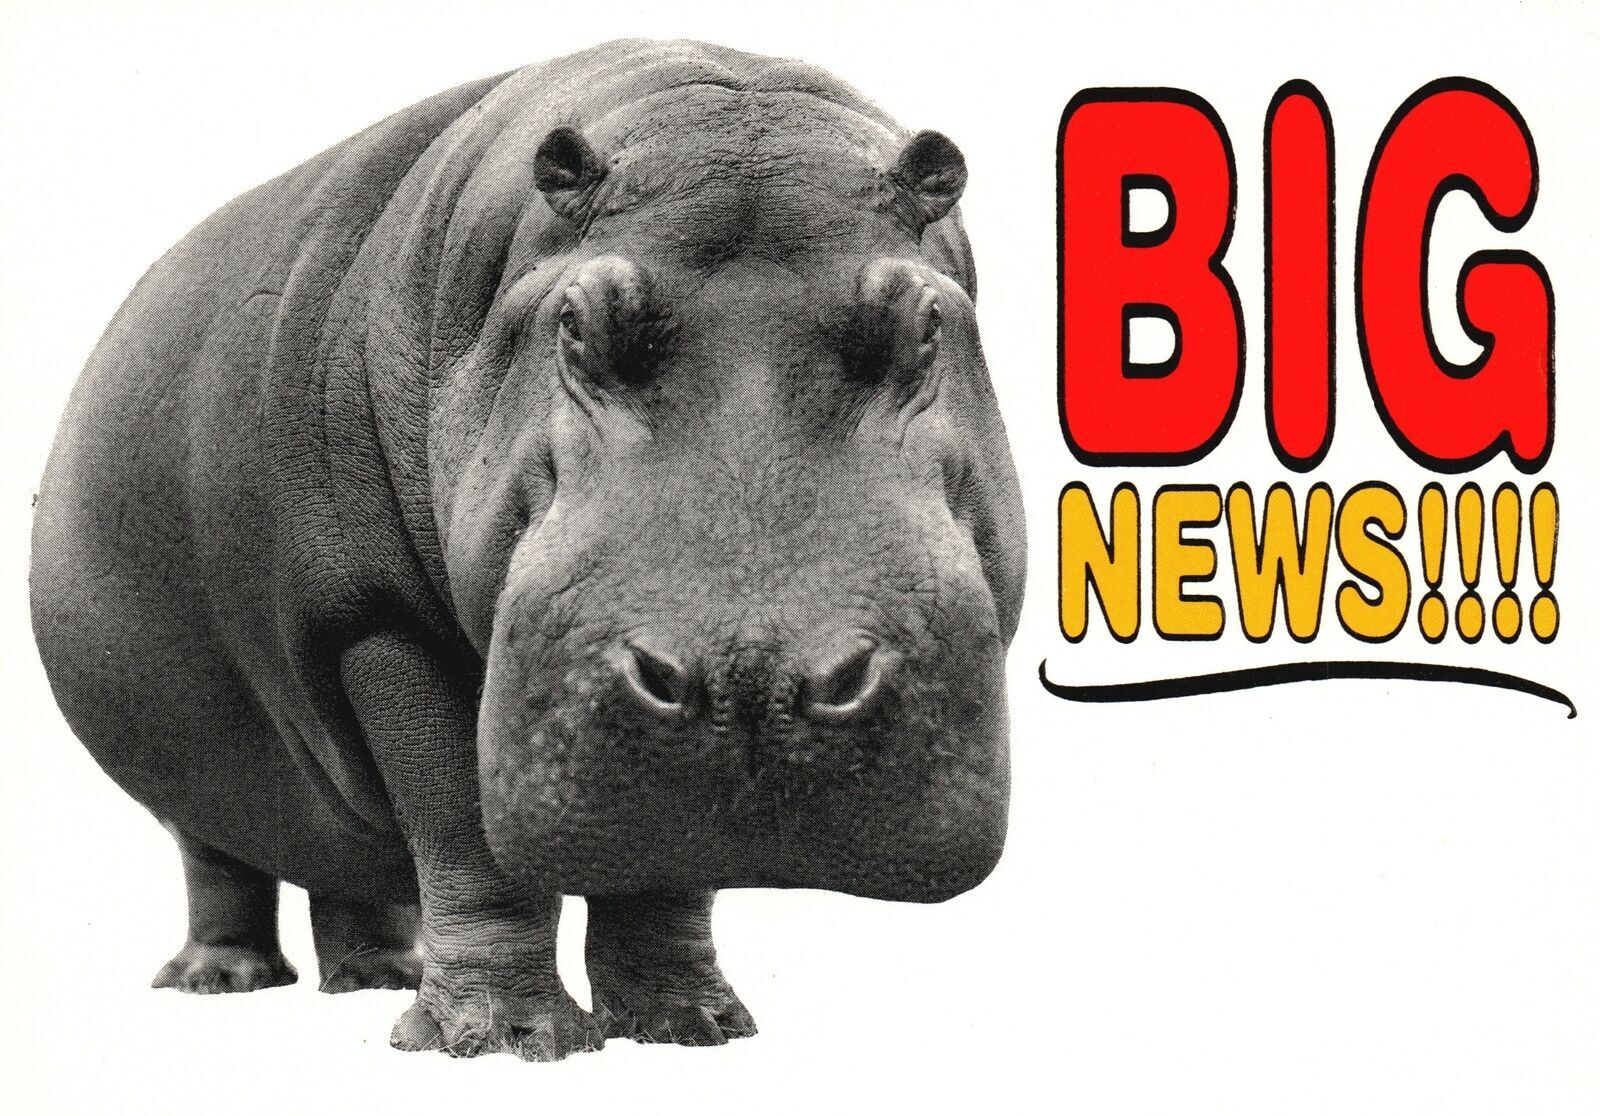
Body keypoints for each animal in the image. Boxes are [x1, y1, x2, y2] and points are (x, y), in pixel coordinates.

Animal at [29, 38, 1025, 1061]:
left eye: (928, 323)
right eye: (575, 323)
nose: (755, 682)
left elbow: (663, 872)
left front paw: (691, 1027)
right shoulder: (377, 623)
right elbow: (462, 830)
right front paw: (501, 1039)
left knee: (343, 860)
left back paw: (379, 976)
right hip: (199, 766)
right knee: (220, 857)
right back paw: (223, 982)